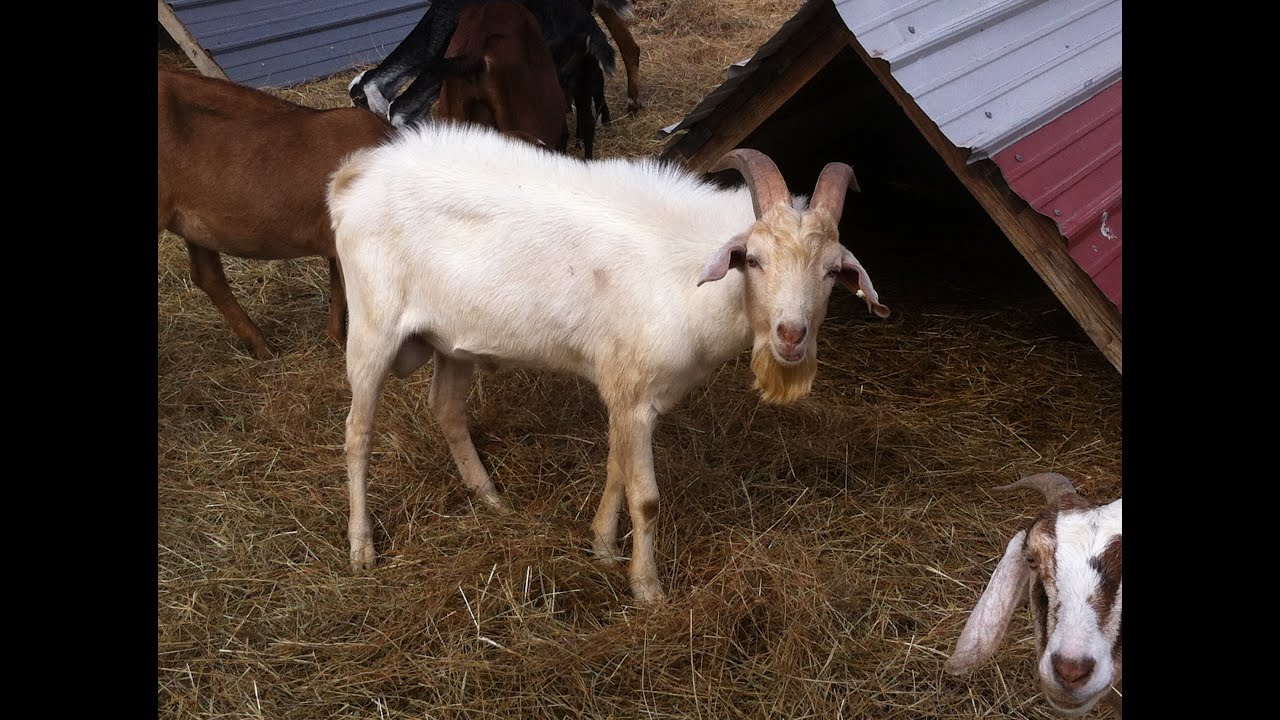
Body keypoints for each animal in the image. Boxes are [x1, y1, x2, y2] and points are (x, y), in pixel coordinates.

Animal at [326, 122, 890, 604]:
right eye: (752, 259)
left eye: (832, 271)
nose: (791, 335)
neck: (683, 278)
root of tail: (355, 177)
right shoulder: (633, 392)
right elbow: (646, 497)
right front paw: (647, 588)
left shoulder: (628, 393)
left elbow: (617, 466)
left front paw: (600, 547)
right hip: (373, 327)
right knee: (357, 430)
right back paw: (362, 548)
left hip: (453, 340)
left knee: (444, 408)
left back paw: (491, 499)